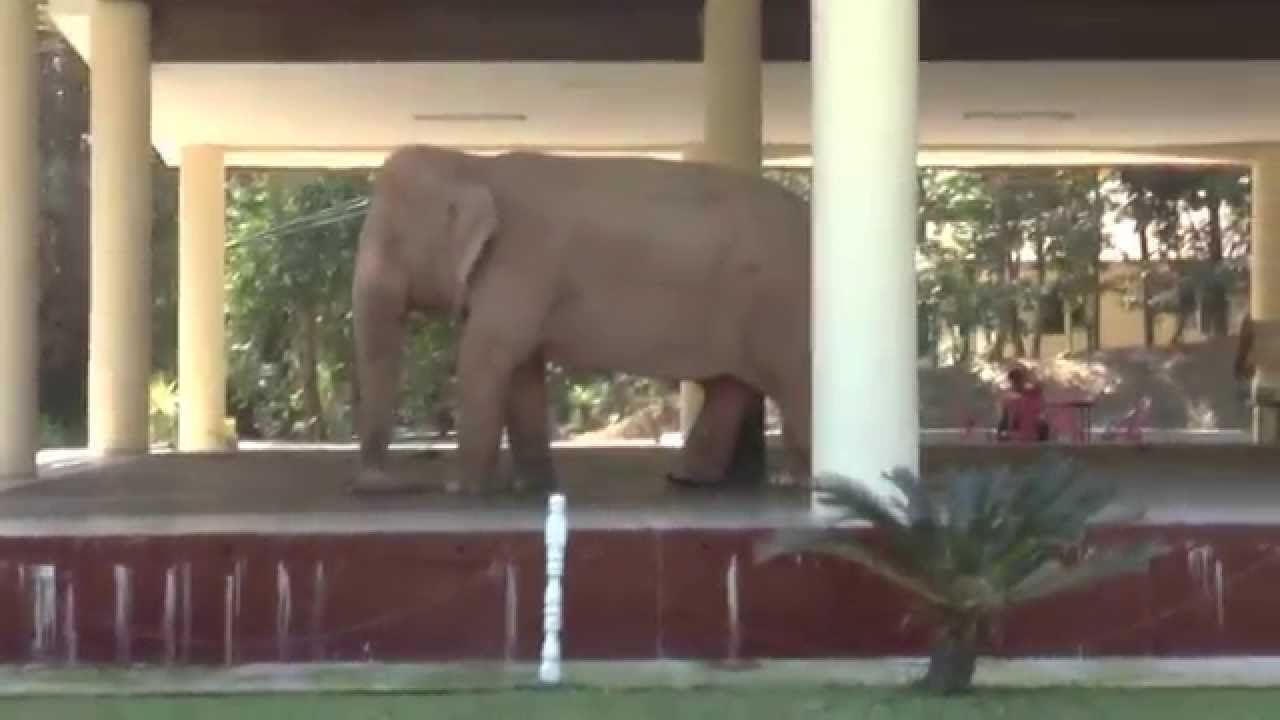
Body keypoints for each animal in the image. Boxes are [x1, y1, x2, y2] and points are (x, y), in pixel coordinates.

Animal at [350, 145, 811, 495]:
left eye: (390, 239)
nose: (382, 482)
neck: (473, 163)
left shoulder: (522, 264)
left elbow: (485, 355)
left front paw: (459, 489)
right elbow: (521, 370)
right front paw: (531, 487)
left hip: (783, 303)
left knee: (793, 382)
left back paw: (794, 482)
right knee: (729, 387)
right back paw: (689, 479)